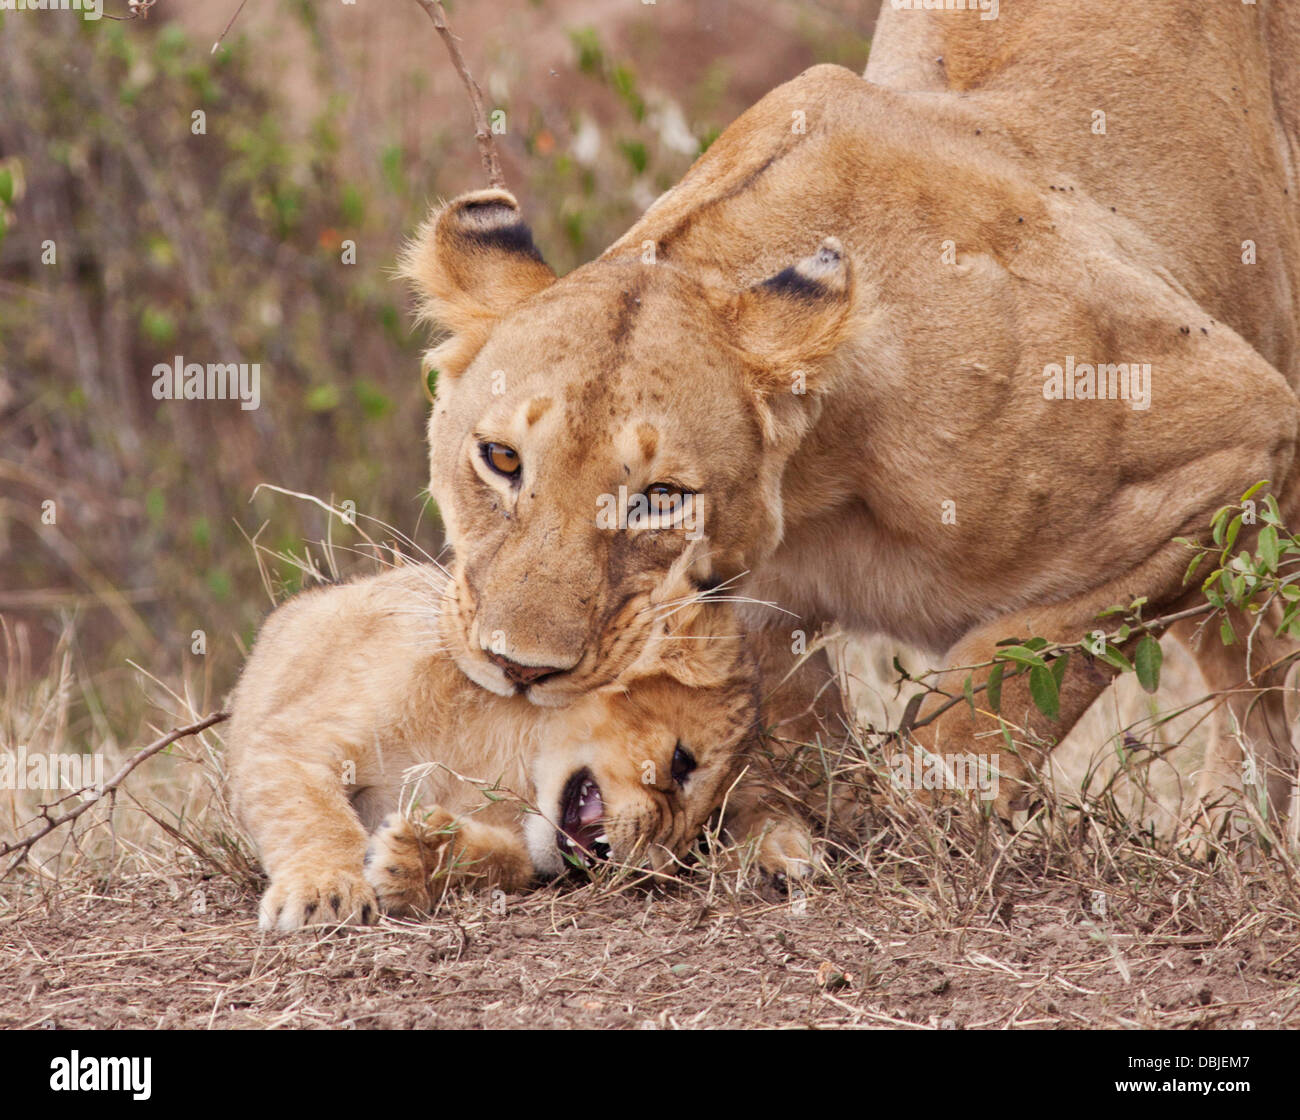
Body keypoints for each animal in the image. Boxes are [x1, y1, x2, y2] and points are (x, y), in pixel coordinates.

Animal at [225, 563, 813, 931]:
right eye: (681, 762)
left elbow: (508, 861)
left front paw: (419, 856)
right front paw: (326, 893)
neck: (511, 753)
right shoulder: (290, 740)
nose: (653, 868)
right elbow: (315, 818)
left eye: (704, 832)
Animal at [401, 2, 1300, 831]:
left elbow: (1006, 677)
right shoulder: (750, 595)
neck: (818, 480)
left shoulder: (1240, 435)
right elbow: (790, 715)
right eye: (501, 460)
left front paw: (930, 818)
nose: (519, 668)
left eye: (660, 498)